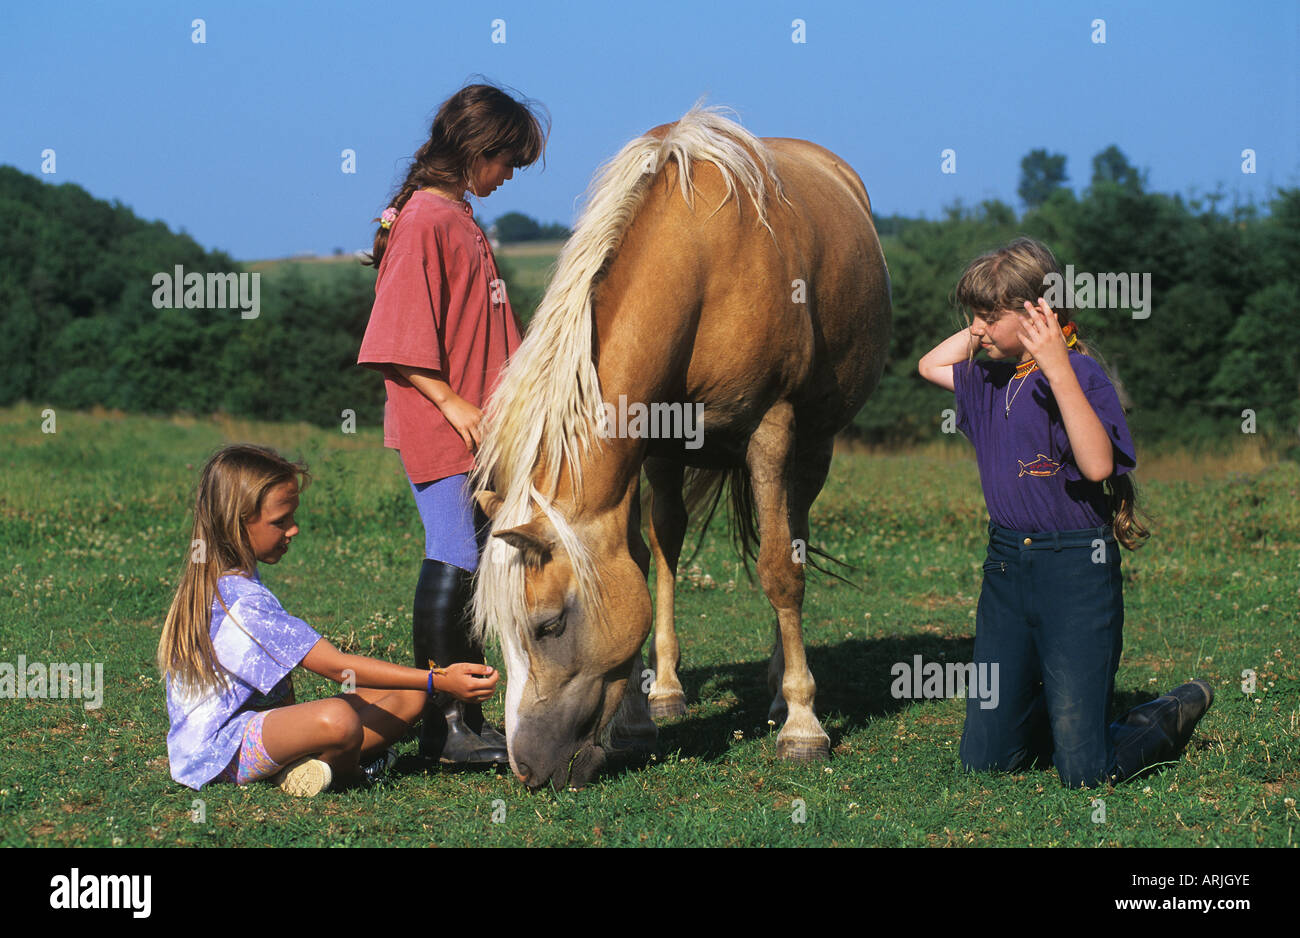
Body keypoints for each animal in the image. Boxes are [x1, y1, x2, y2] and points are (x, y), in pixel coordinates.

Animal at [471, 106, 892, 790]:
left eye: (549, 625)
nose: (526, 769)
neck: (701, 264)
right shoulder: (650, 440)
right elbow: (644, 561)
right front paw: (640, 716)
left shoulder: (773, 428)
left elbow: (781, 571)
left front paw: (804, 726)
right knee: (668, 542)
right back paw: (666, 690)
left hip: (812, 446)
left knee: (793, 534)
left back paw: (781, 692)